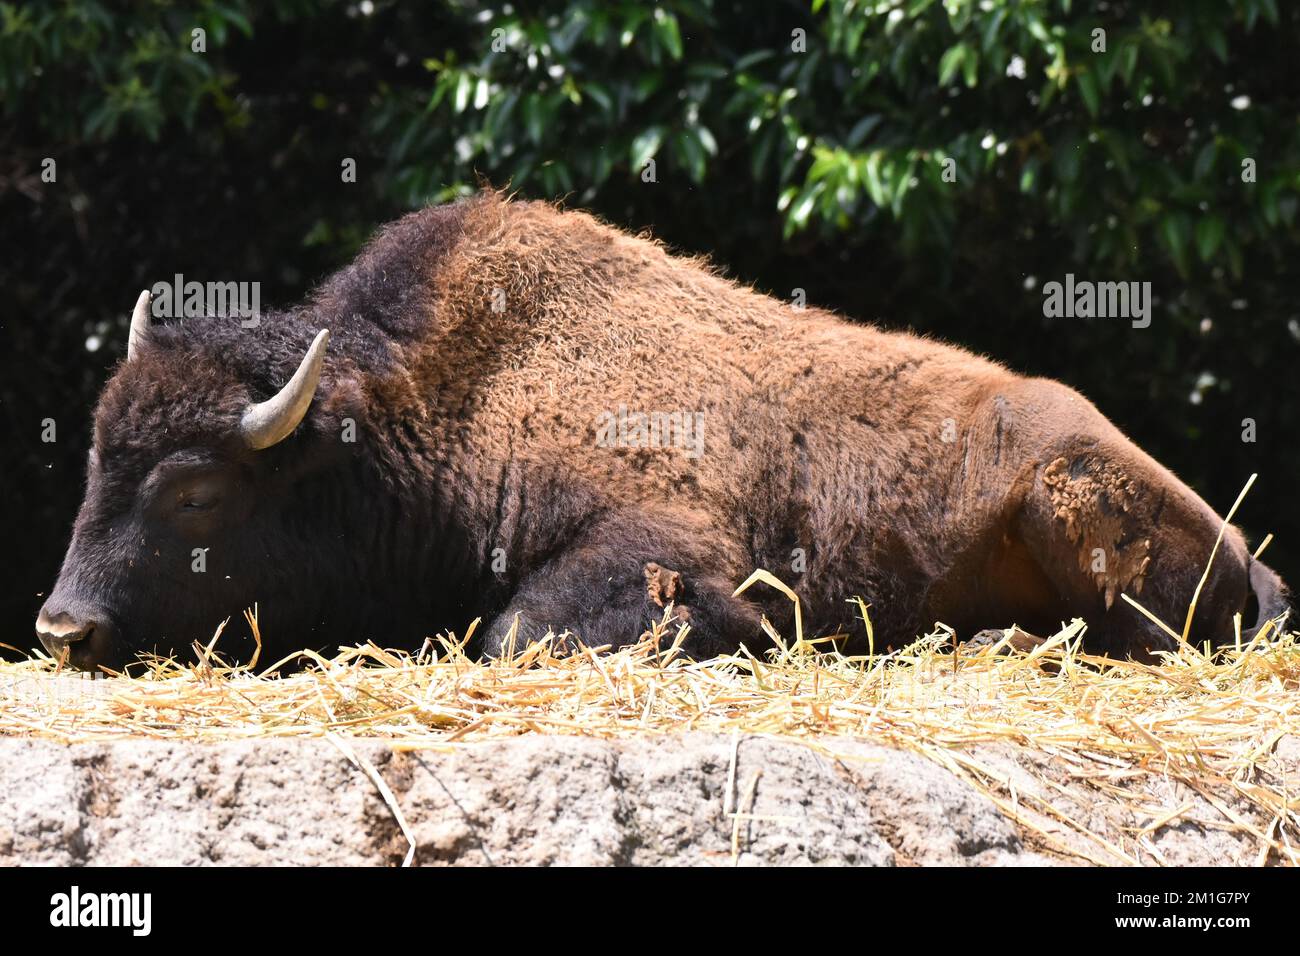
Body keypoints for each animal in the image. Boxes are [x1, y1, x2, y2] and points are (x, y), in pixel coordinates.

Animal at [36, 192, 1291, 671]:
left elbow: (514, 633)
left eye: (196, 491)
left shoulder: (665, 550)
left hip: (1069, 492)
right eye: (93, 460)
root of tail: (1250, 552)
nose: (62, 627)